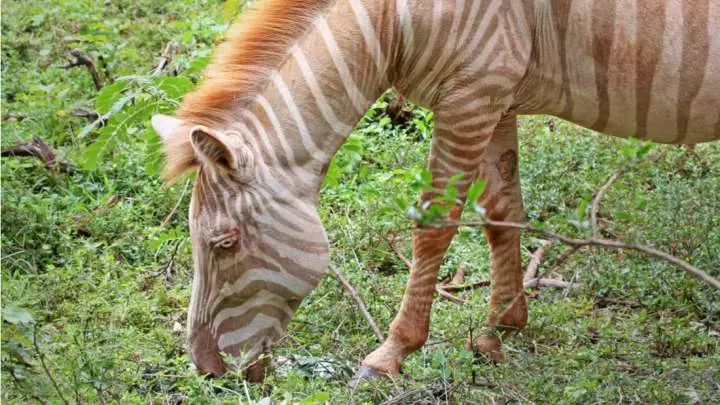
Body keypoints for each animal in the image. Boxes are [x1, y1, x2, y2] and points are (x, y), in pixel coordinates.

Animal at [152, 0, 720, 378]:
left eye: (224, 245)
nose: (205, 370)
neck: (391, 22)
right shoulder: (497, 99)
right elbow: (502, 212)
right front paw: (499, 331)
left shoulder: (472, 96)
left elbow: (434, 226)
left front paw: (392, 354)